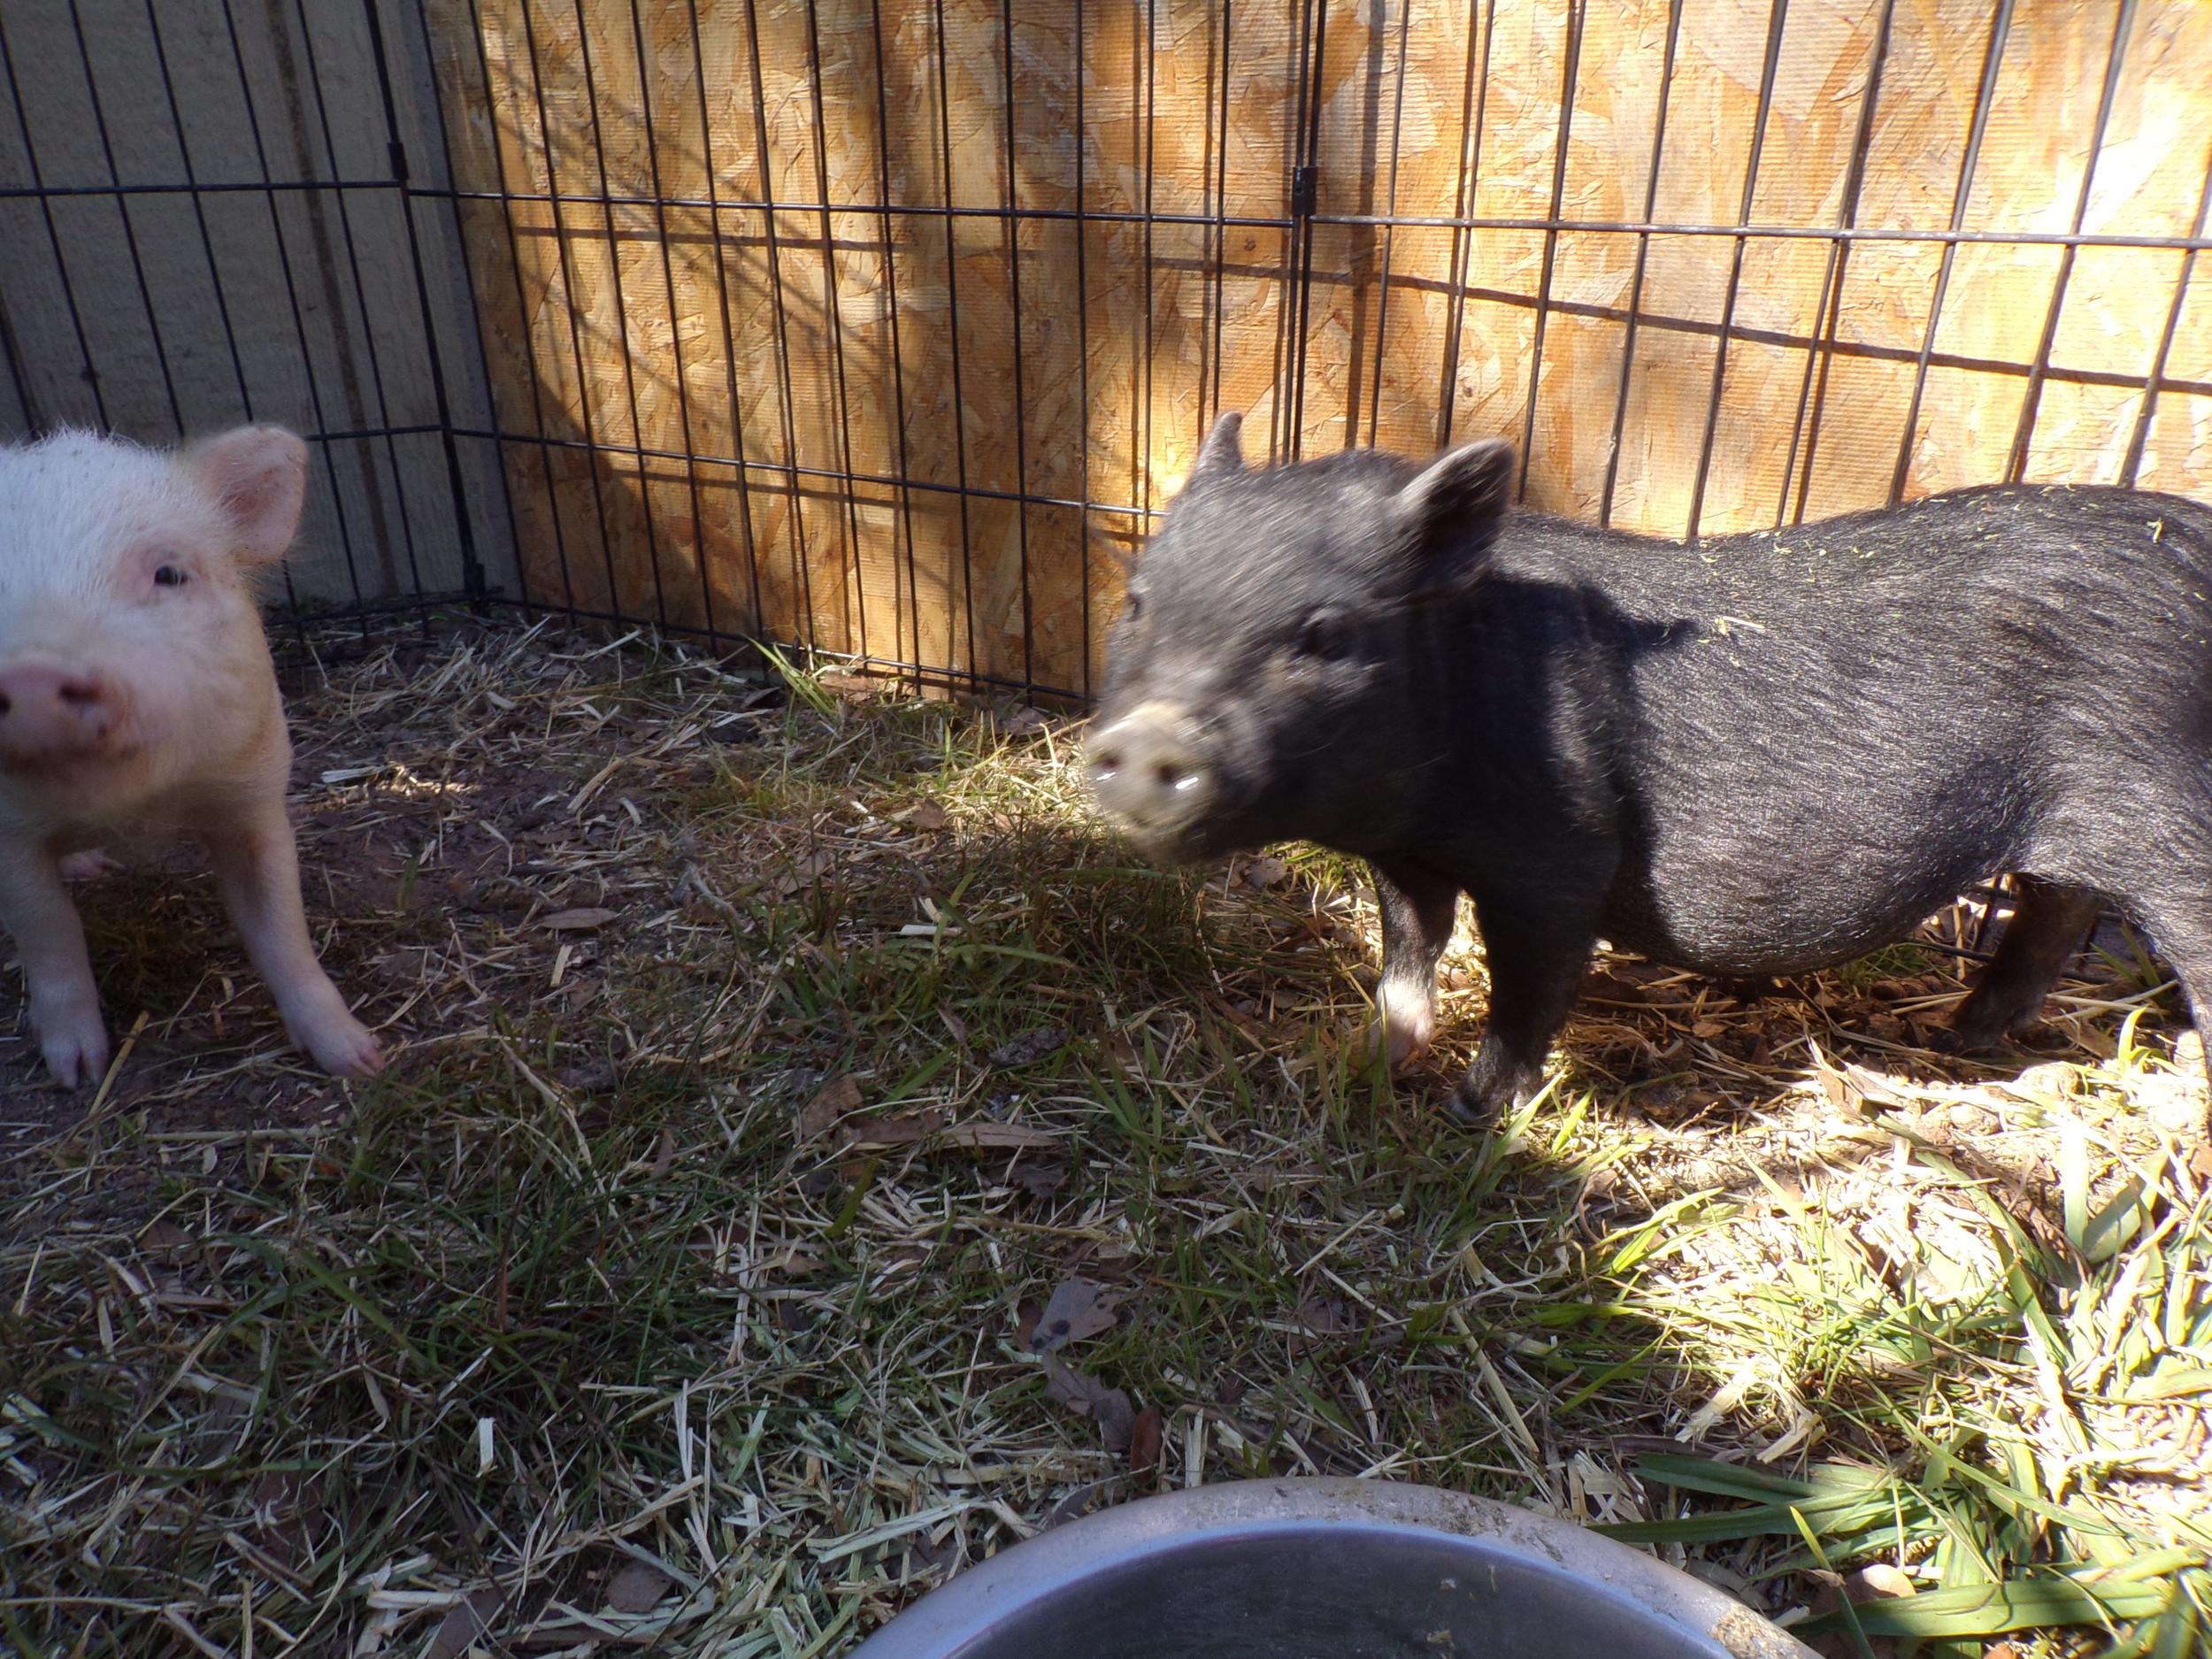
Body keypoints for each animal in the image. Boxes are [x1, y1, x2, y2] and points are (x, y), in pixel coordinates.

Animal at [0, 426, 383, 1085]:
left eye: (170, 573)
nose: (31, 674)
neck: (134, 812)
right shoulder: (8, 837)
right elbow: (51, 936)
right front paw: (80, 1075)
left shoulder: (253, 790)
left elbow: (282, 930)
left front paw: (362, 1060)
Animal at [1086, 411, 2212, 1126]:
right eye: (1137, 601)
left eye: (1323, 635)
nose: (1145, 740)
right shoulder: (1408, 854)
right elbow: (1408, 955)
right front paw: (1359, 1063)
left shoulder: (1558, 861)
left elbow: (1530, 987)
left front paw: (1470, 1113)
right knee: (2055, 909)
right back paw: (1963, 1039)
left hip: (2168, 818)